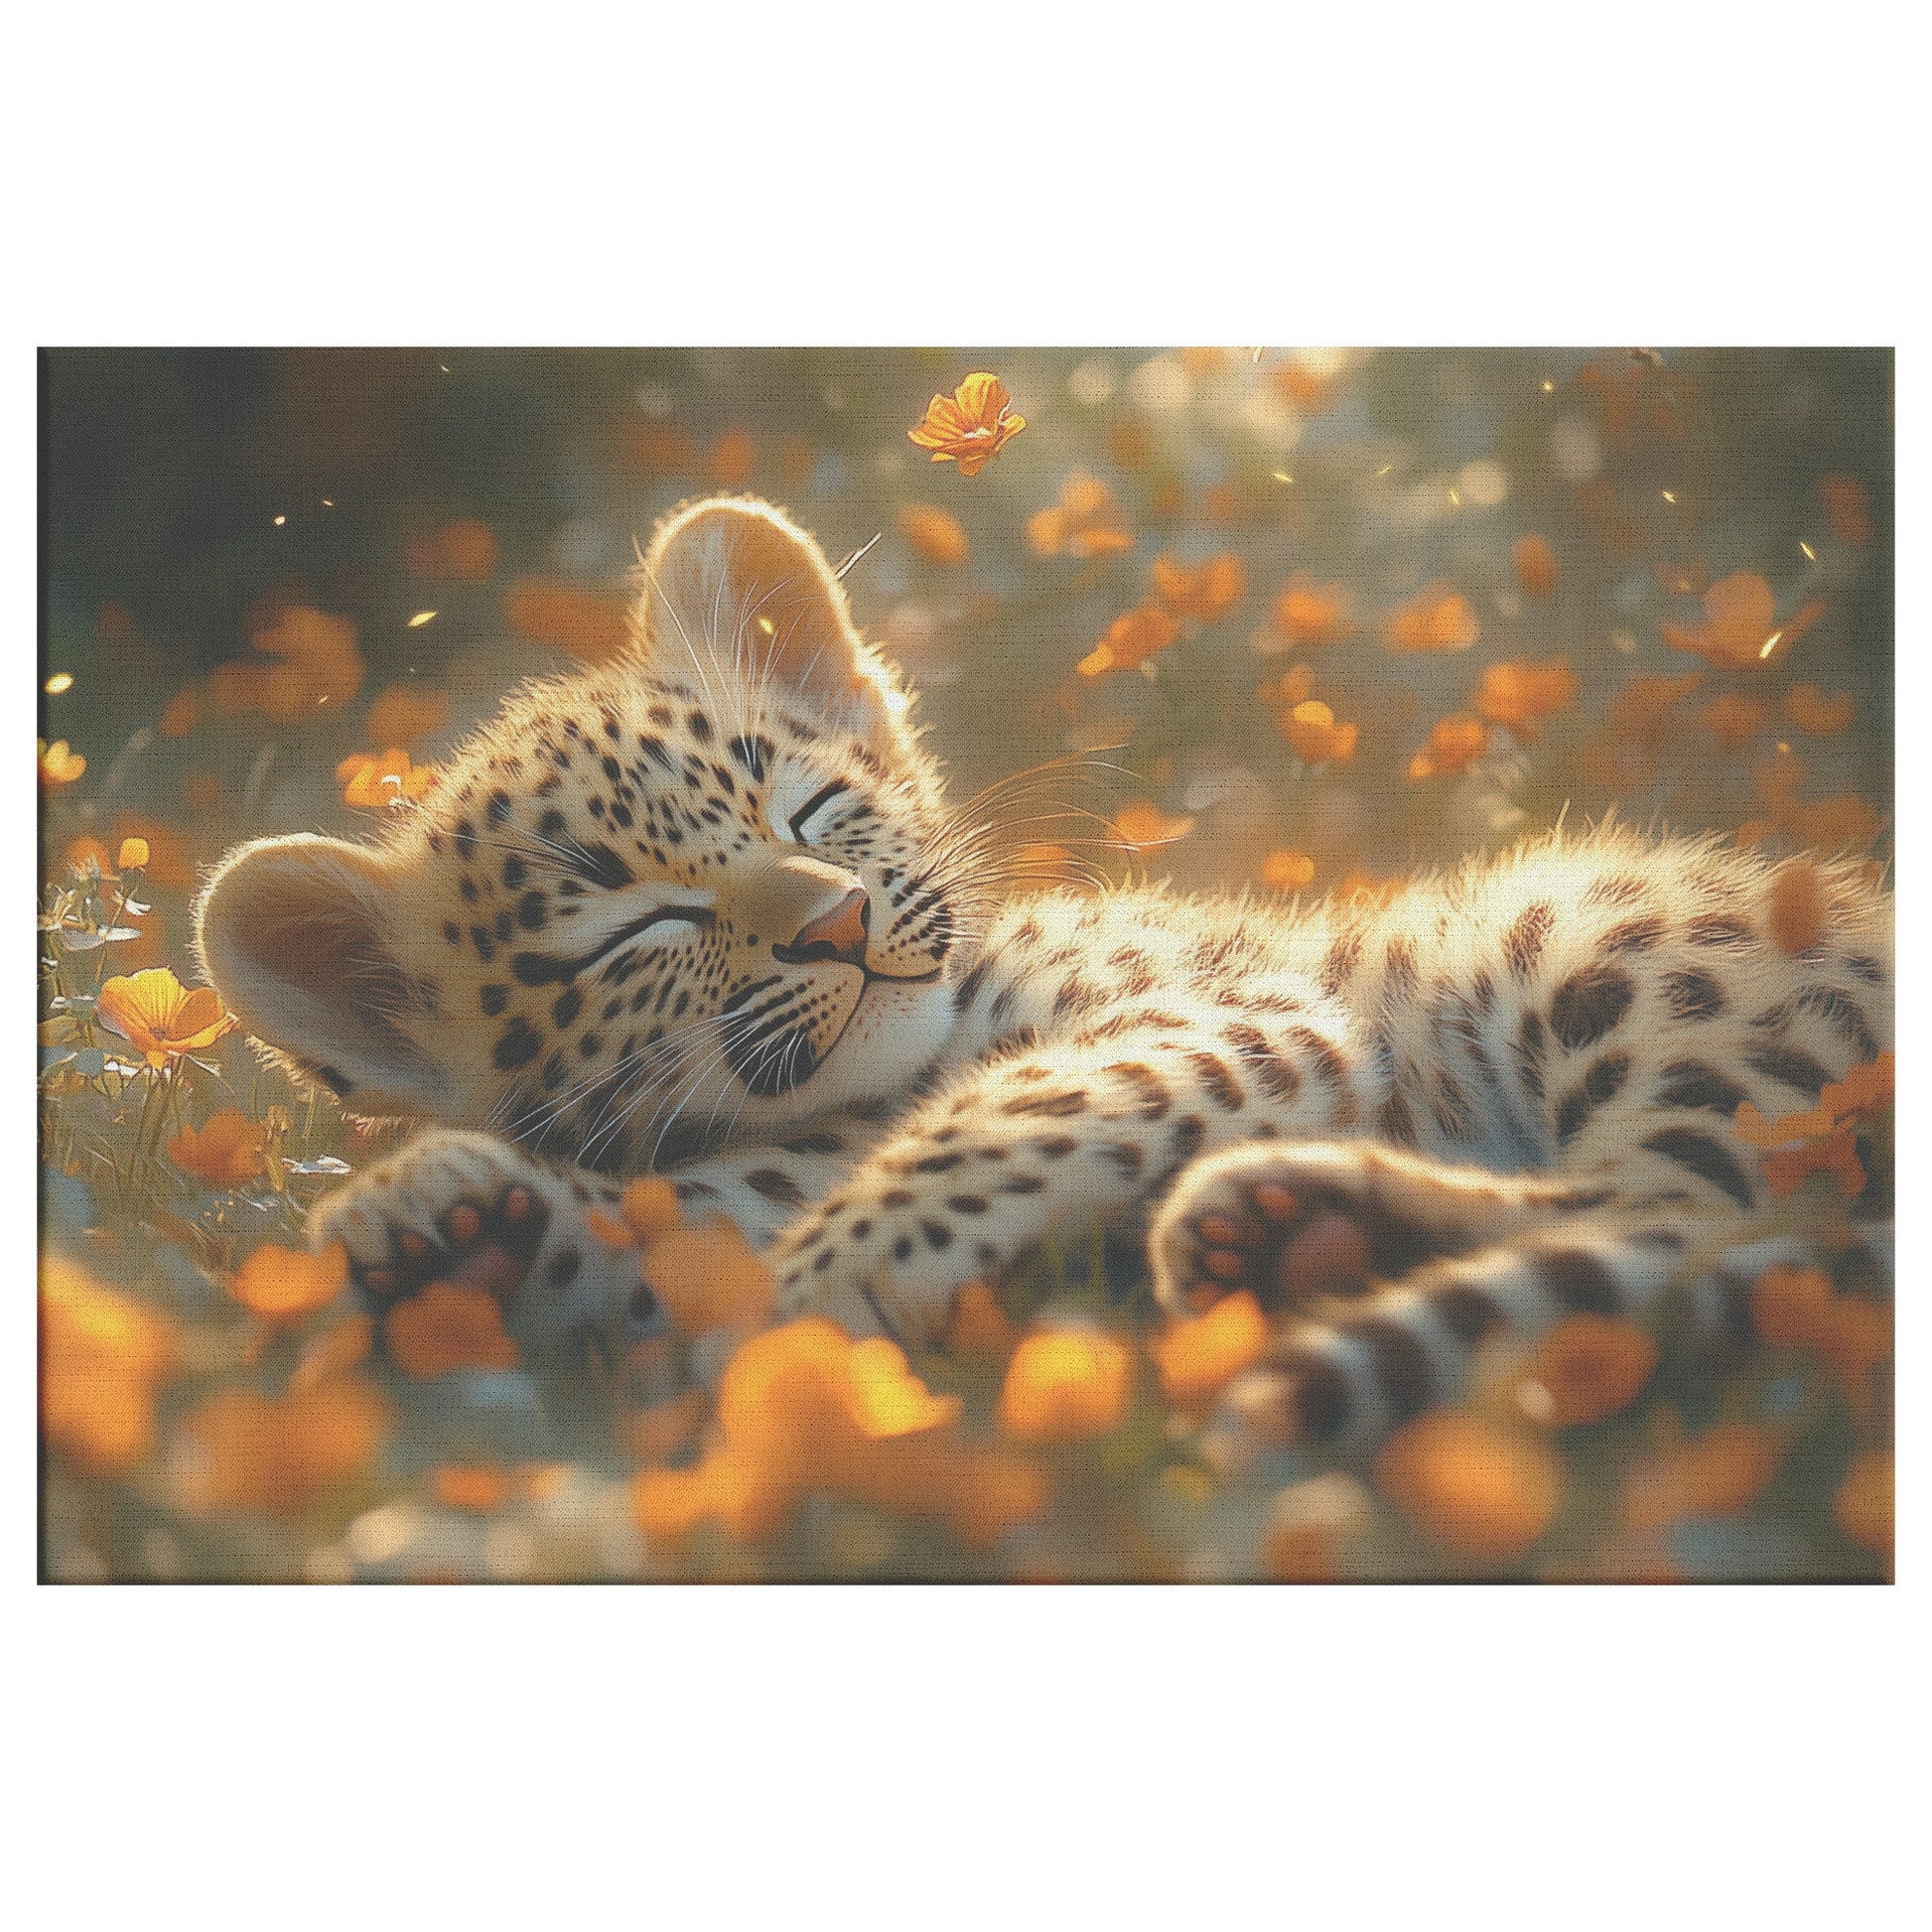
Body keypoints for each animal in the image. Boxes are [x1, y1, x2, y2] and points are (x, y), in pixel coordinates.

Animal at [194, 495, 1894, 1459]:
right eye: (634, 931)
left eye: (806, 810)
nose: (830, 922)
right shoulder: (777, 1132)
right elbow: (700, 1210)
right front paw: (447, 1229)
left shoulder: (1229, 1006)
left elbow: (992, 1126)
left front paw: (802, 1315)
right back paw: (1292, 1236)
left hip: (1597, 951)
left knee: (1707, 1217)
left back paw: (1290, 1229)